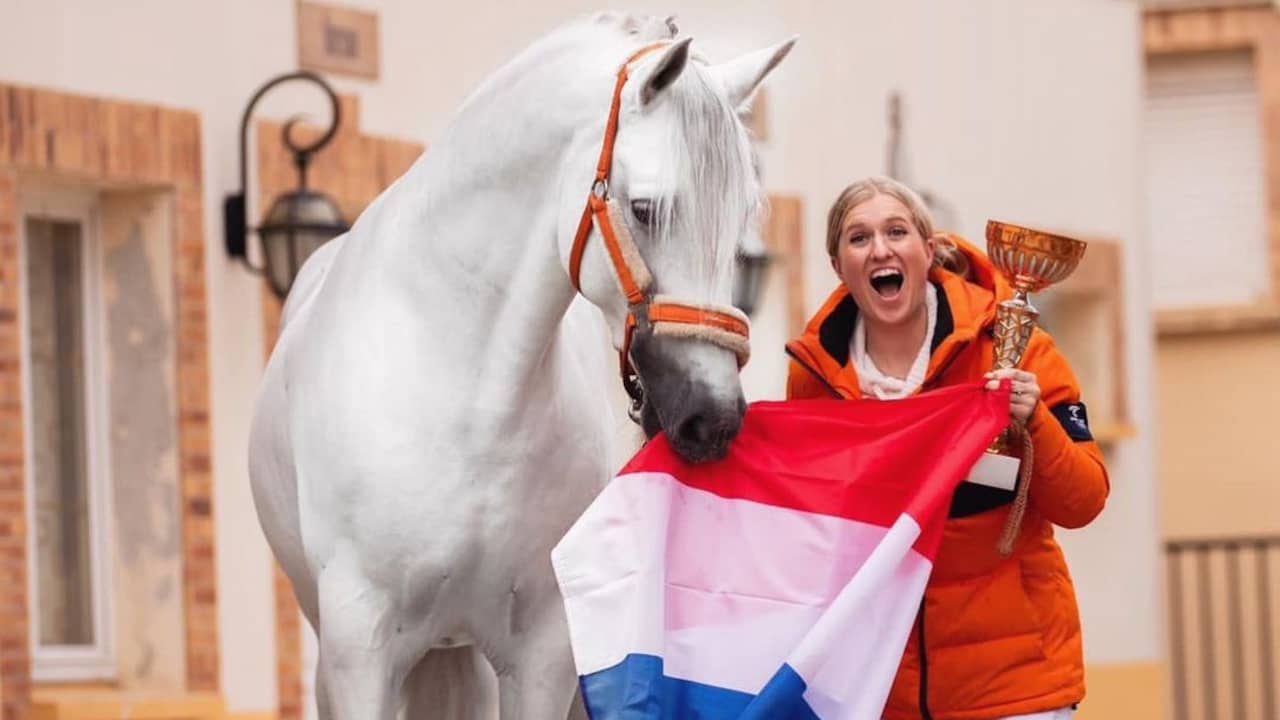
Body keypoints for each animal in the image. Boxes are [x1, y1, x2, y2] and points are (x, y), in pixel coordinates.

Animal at [248, 12, 795, 719]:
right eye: (645, 209)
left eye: (742, 222)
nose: (713, 416)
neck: (469, 400)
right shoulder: (357, 651)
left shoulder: (541, 650)